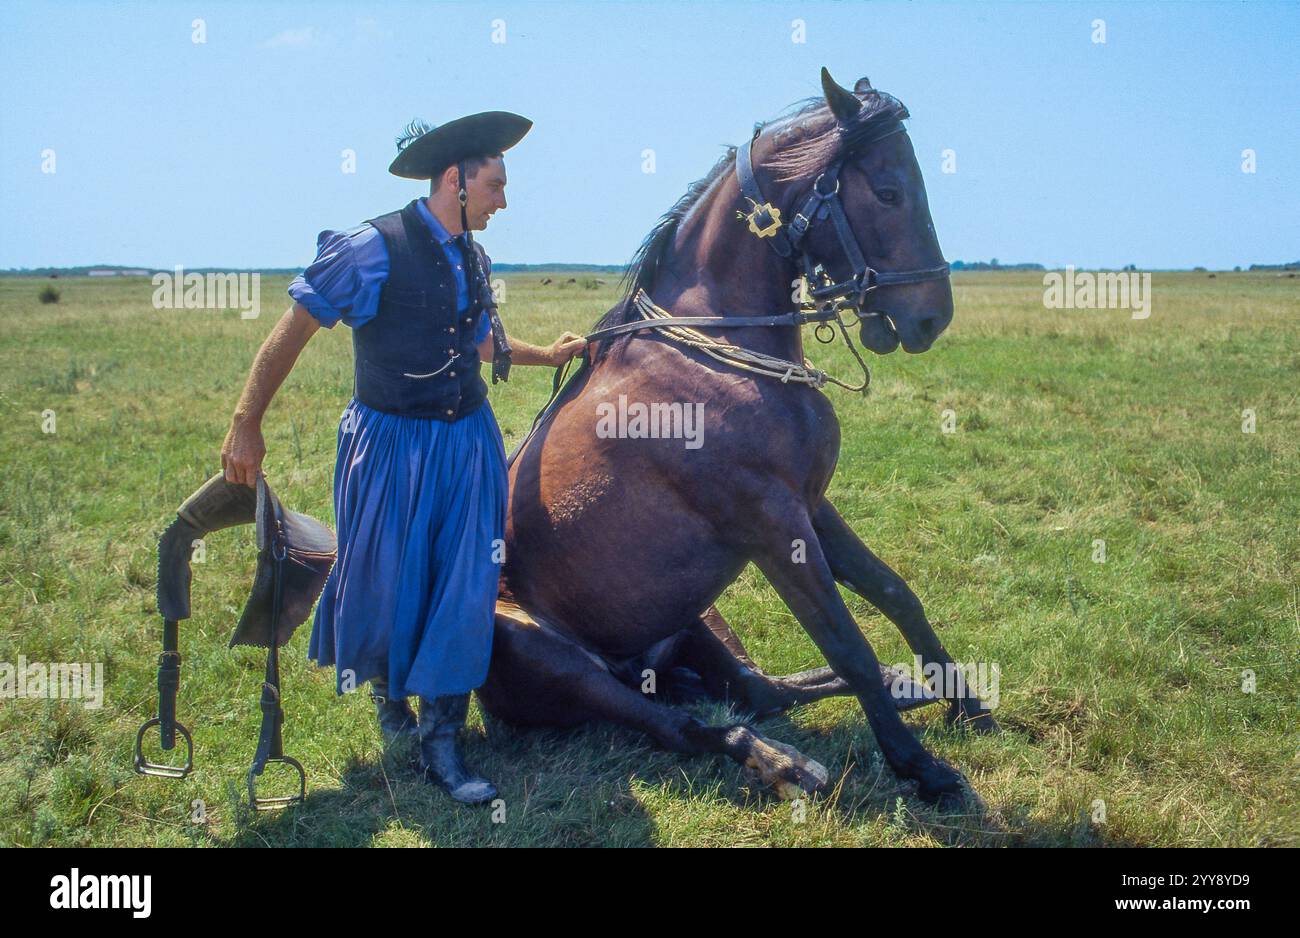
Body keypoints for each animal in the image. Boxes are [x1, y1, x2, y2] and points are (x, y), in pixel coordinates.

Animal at [477, 68, 997, 806]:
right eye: (889, 191)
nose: (931, 317)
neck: (712, 353)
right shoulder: (772, 525)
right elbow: (848, 644)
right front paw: (921, 767)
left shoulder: (810, 504)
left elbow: (895, 594)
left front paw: (961, 699)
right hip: (550, 657)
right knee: (683, 725)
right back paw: (783, 764)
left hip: (694, 623)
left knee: (759, 690)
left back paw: (897, 691)